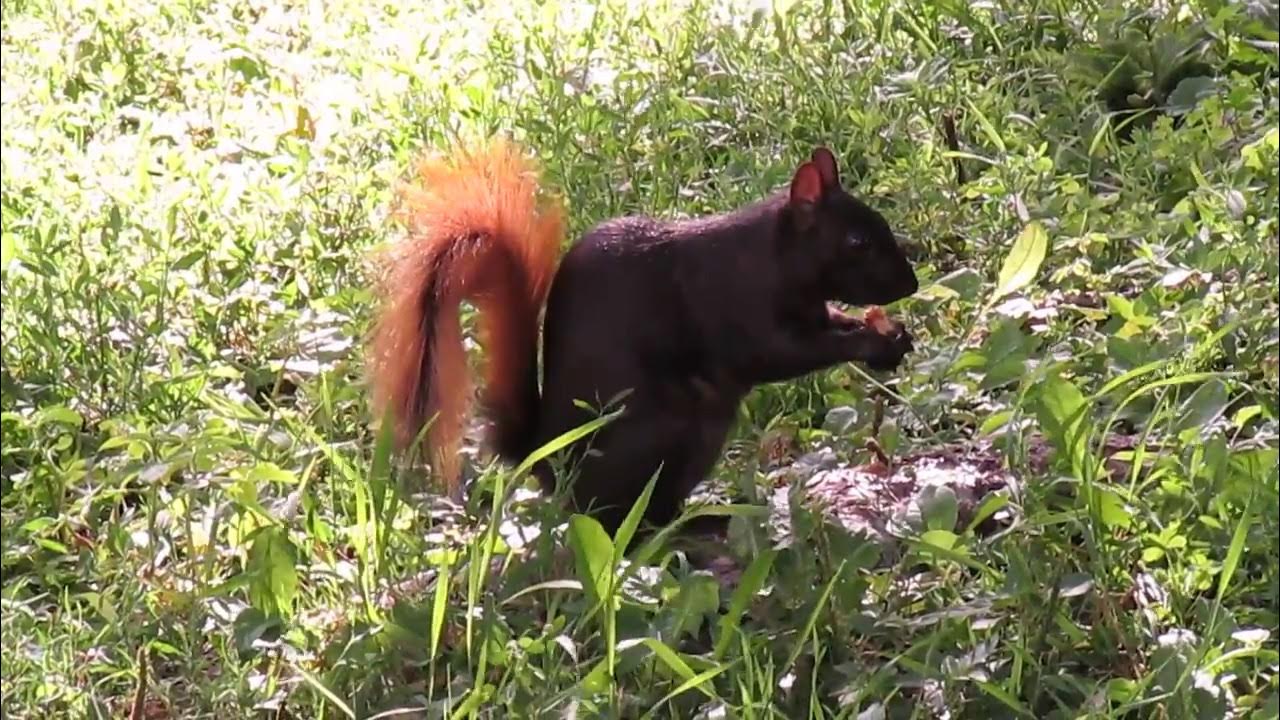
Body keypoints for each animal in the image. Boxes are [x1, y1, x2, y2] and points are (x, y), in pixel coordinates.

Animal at [368, 137, 919, 536]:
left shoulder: (812, 310)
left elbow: (830, 325)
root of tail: (550, 464)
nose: (910, 284)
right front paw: (872, 343)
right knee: (611, 517)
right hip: (652, 436)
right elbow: (783, 352)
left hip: (700, 438)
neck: (773, 254)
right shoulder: (738, 311)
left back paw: (706, 518)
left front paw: (892, 336)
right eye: (856, 241)